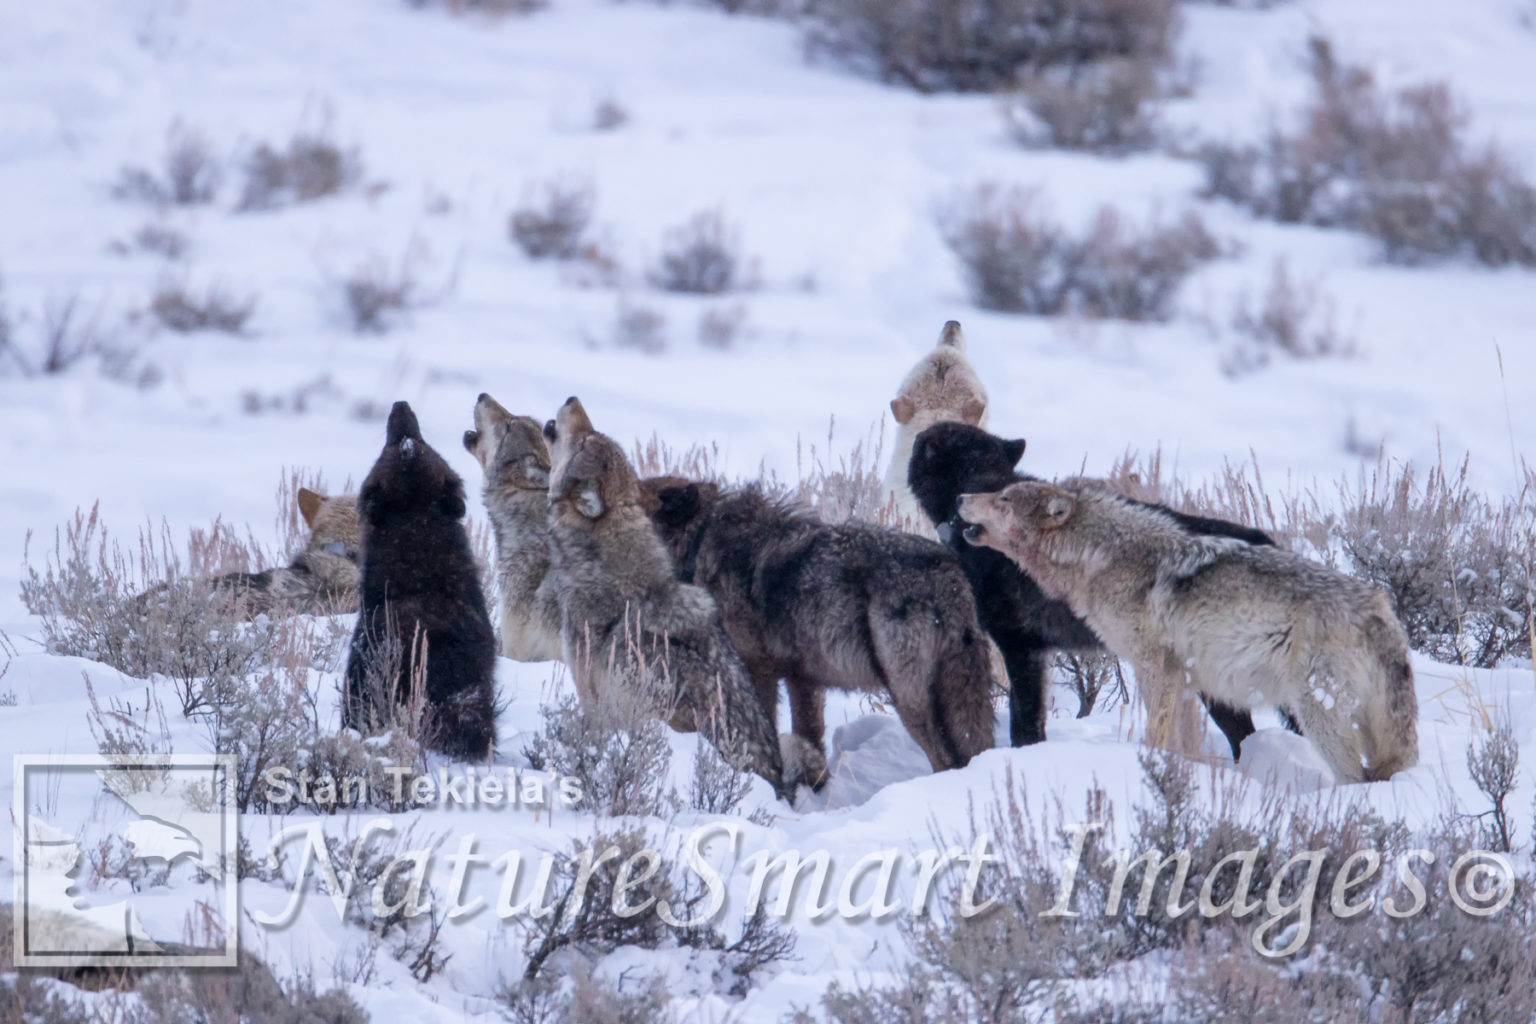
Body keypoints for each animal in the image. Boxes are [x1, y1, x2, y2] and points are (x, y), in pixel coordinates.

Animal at [640, 477, 997, 787]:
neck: (702, 538)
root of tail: (947, 573)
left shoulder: (758, 673)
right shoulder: (804, 681)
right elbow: (809, 739)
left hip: (908, 700)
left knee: (945, 759)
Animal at [958, 481, 1419, 783]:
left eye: (1002, 498)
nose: (961, 498)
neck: (1102, 557)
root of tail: (1380, 609)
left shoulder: (1151, 665)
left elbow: (1155, 731)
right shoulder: (1180, 676)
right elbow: (1176, 737)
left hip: (1314, 713)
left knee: (1355, 777)